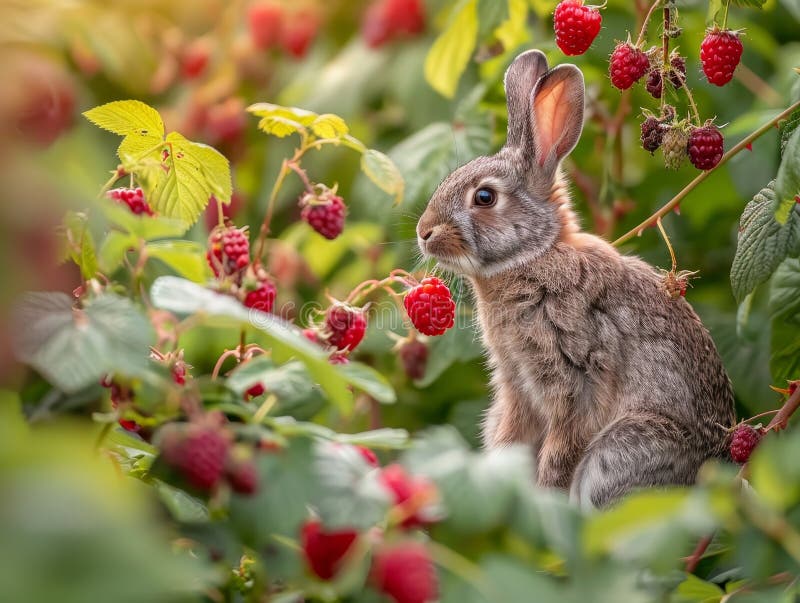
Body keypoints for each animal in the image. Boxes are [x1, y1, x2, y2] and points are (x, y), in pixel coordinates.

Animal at [415, 49, 736, 508]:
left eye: (485, 197)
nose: (424, 233)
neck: (534, 256)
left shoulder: (577, 371)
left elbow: (563, 445)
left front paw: (546, 491)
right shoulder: (517, 388)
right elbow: (512, 438)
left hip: (622, 448)